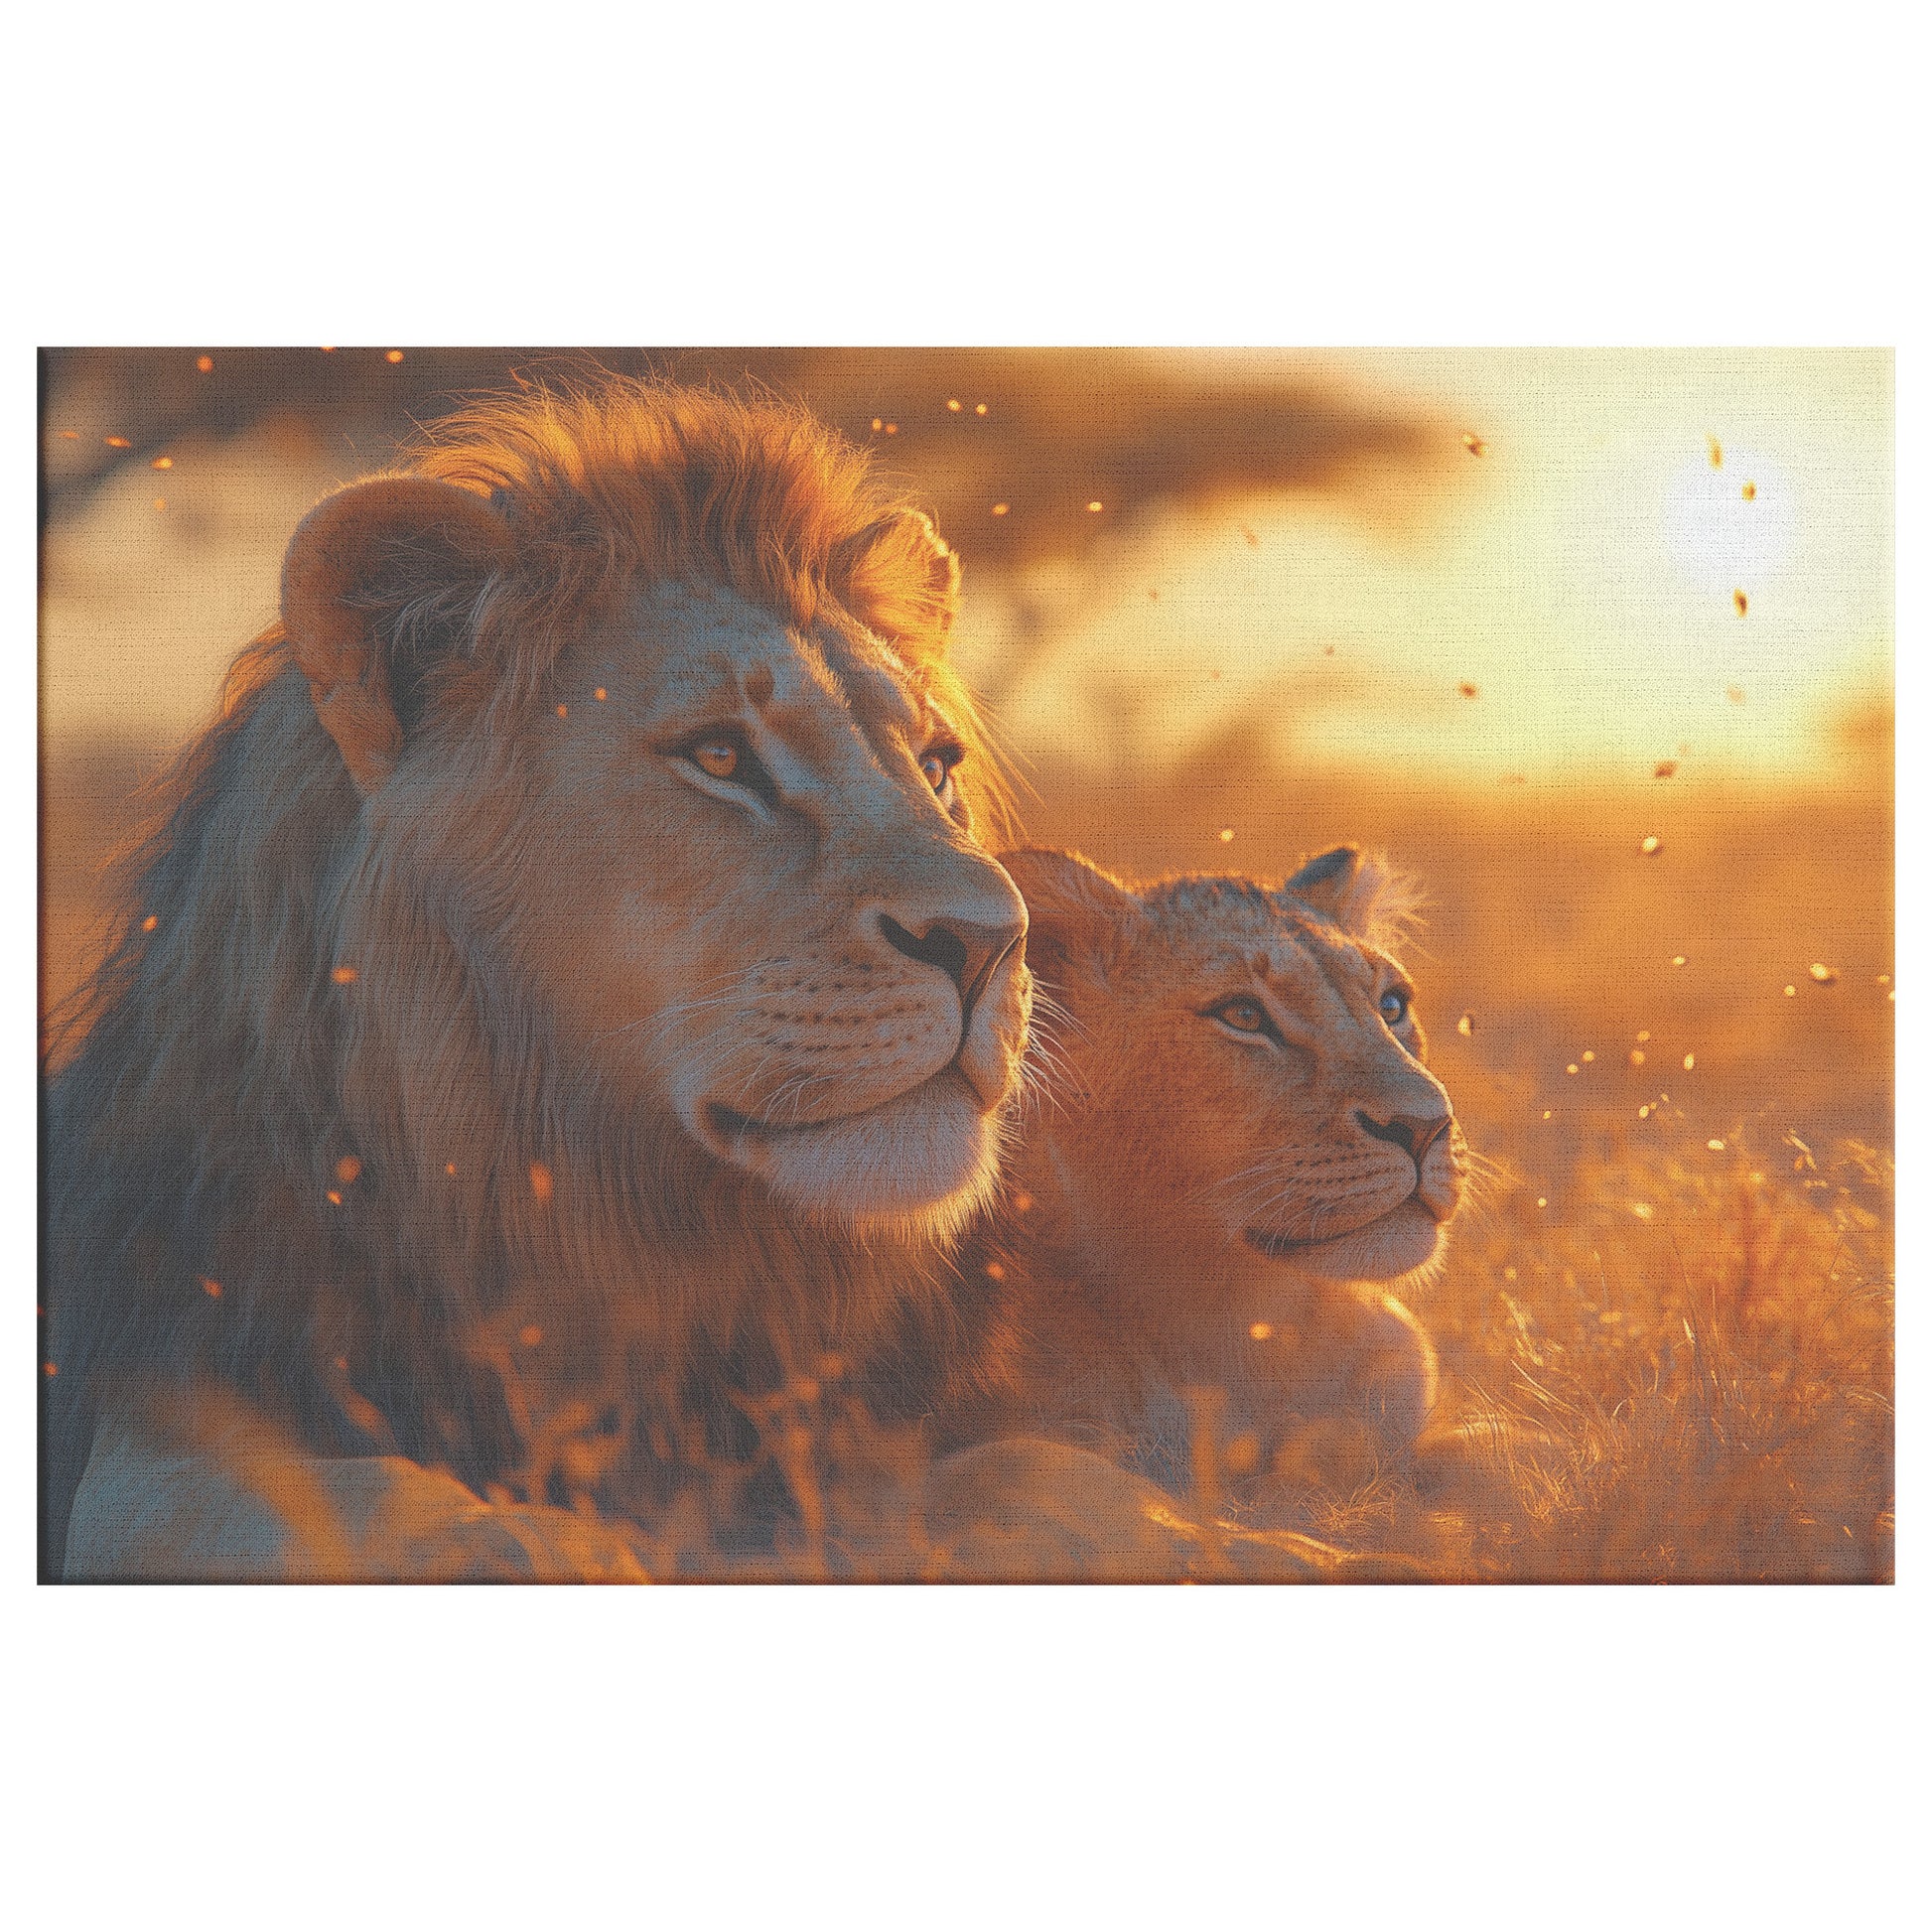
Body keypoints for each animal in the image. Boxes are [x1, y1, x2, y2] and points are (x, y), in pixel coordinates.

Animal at [45, 376, 1064, 1580]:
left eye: (937, 766)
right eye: (719, 756)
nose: (992, 937)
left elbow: (1029, 1471)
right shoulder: (143, 1442)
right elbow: (373, 1497)